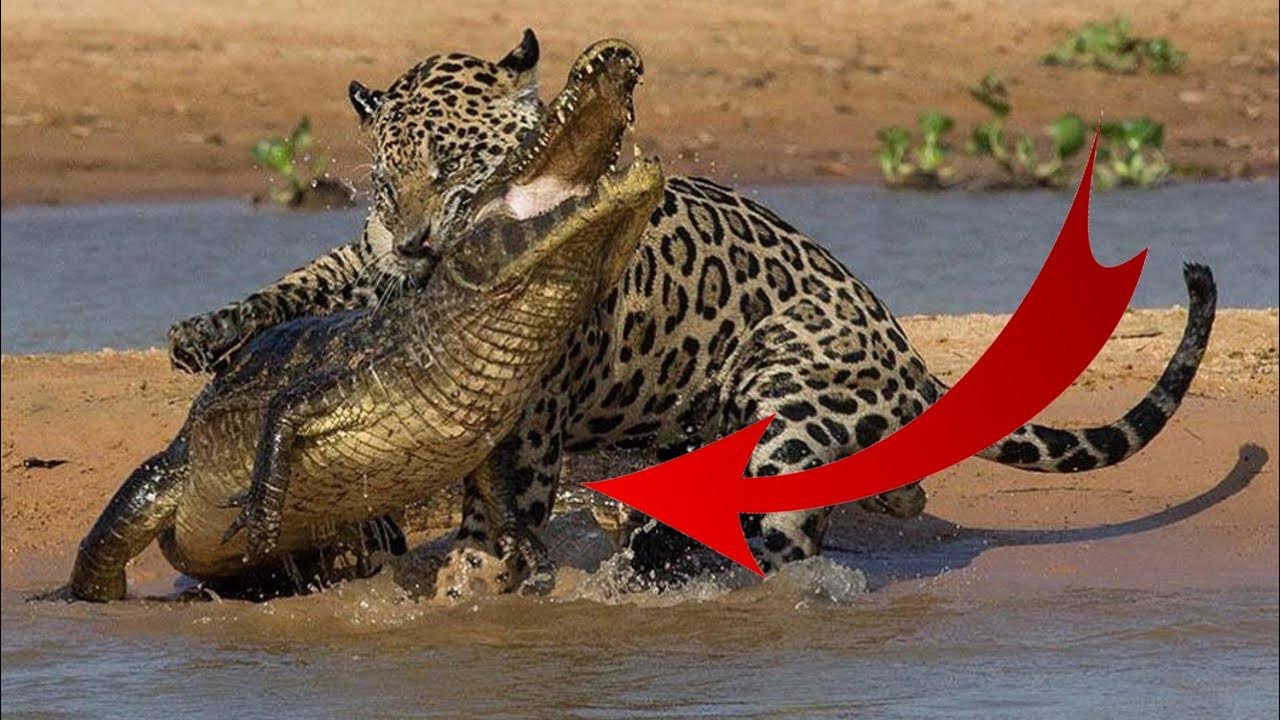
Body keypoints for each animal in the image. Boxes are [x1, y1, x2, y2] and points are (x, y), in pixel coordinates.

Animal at [168, 30, 1217, 588]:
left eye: (457, 163)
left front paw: (477, 583)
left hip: (788, 395)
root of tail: (905, 350)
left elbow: (498, 508)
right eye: (387, 181)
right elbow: (321, 274)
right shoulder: (377, 268)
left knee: (784, 520)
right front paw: (205, 331)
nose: (420, 239)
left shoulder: (530, 418)